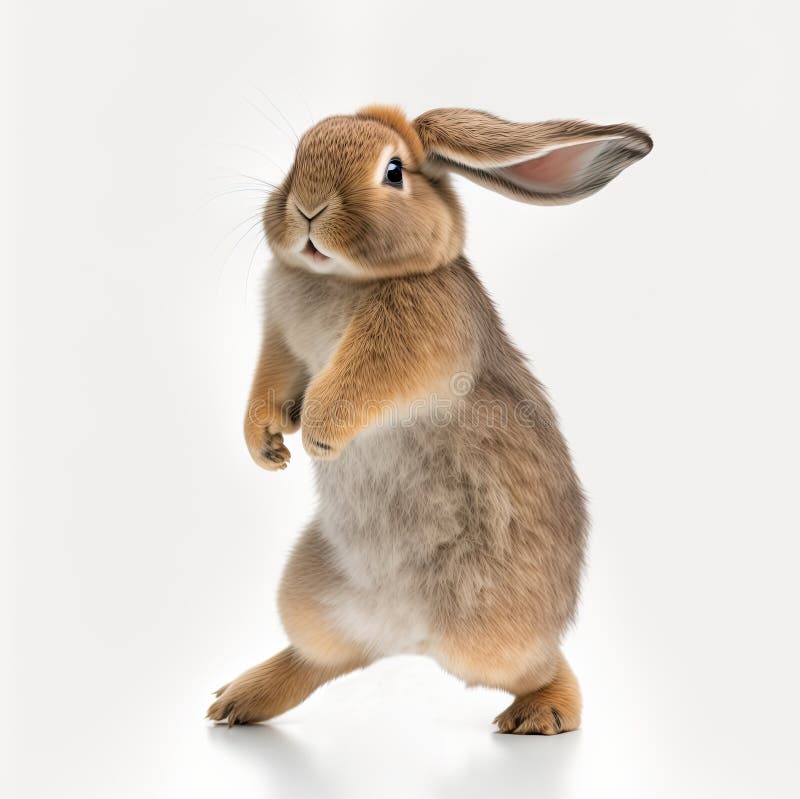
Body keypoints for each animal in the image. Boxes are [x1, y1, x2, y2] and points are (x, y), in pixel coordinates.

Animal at [207, 105, 652, 734]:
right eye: (299, 153)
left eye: (394, 171)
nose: (309, 208)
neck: (339, 278)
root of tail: (404, 638)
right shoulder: (281, 346)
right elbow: (267, 388)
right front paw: (267, 447)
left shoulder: (409, 340)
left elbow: (354, 383)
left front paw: (318, 434)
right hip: (307, 592)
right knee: (322, 657)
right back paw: (238, 700)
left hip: (486, 635)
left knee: (543, 666)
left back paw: (541, 715)